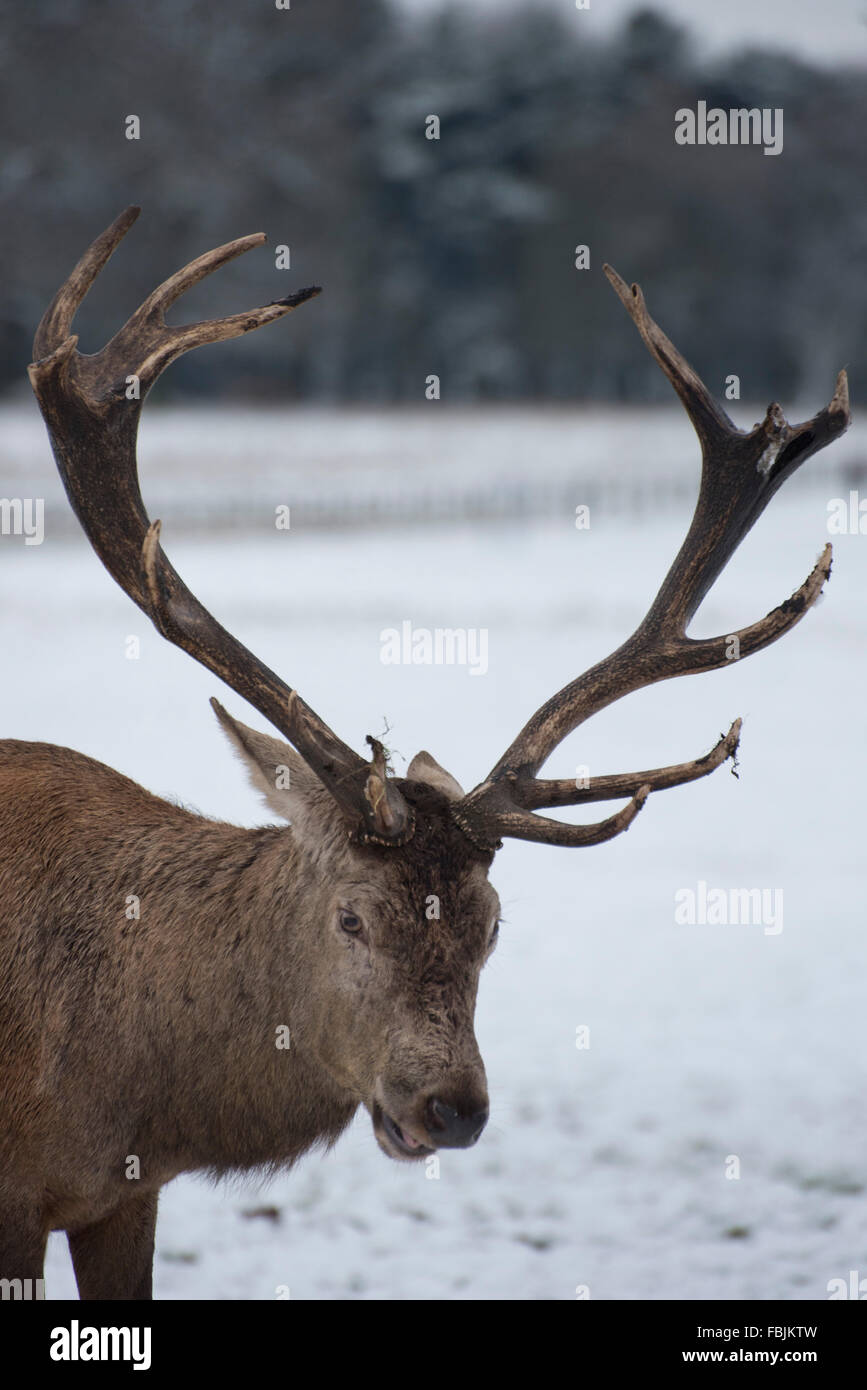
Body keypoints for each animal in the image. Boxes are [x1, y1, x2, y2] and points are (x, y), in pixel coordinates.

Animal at [0, 207, 849, 1301]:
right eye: (352, 917)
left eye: (493, 923)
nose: (452, 1108)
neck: (111, 1093)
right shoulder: (19, 1195)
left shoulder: (121, 1194)